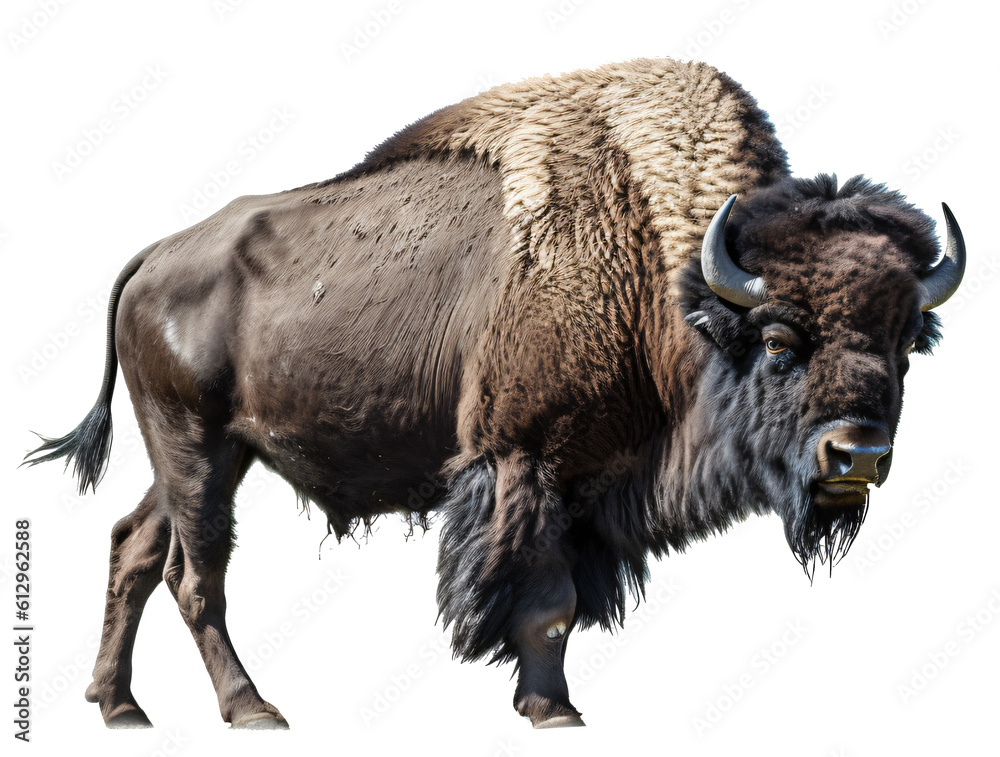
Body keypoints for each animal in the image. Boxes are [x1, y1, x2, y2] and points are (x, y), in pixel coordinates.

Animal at [25, 58, 965, 729]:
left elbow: (565, 603)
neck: (665, 279)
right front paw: (554, 712)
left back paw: (119, 705)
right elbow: (544, 601)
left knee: (134, 545)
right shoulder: (525, 461)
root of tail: (156, 254)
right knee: (196, 575)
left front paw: (545, 700)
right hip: (199, 444)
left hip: (206, 452)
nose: (856, 454)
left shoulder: (586, 489)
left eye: (907, 345)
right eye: (777, 340)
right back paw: (252, 709)